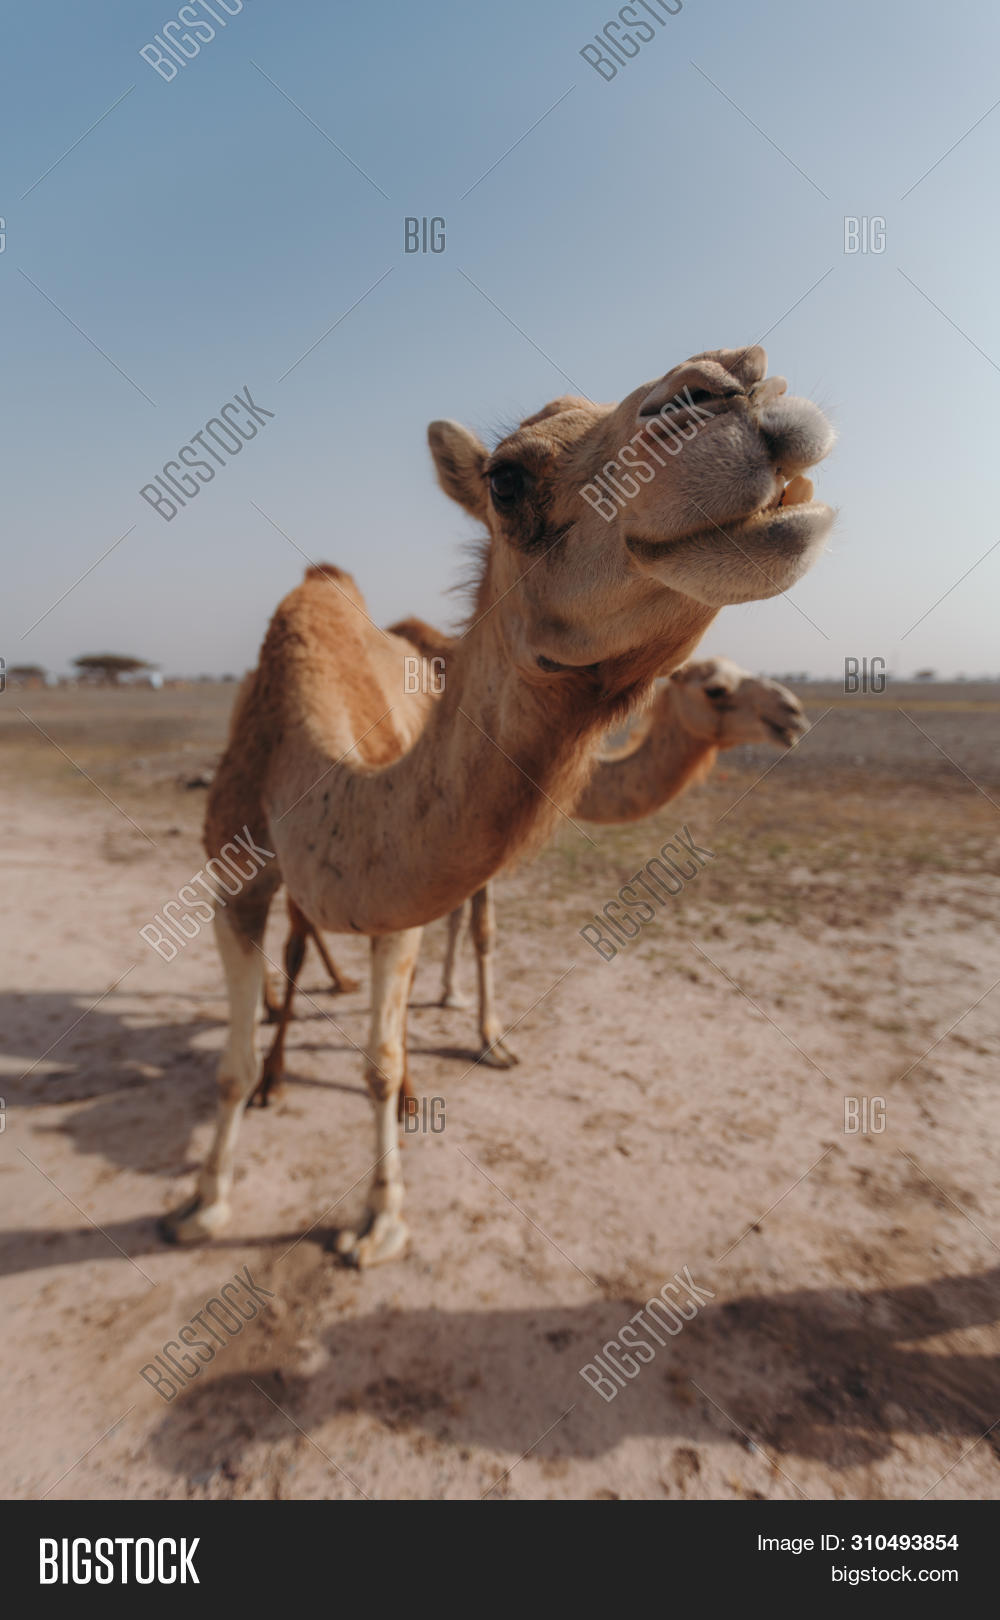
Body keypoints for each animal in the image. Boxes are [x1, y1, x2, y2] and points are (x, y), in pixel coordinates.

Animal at [253, 650, 807, 1104]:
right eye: (716, 689)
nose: (792, 714)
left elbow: (473, 926)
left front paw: (470, 1016)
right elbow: (471, 928)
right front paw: (483, 1039)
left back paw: (330, 987)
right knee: (295, 930)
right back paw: (274, 1060)